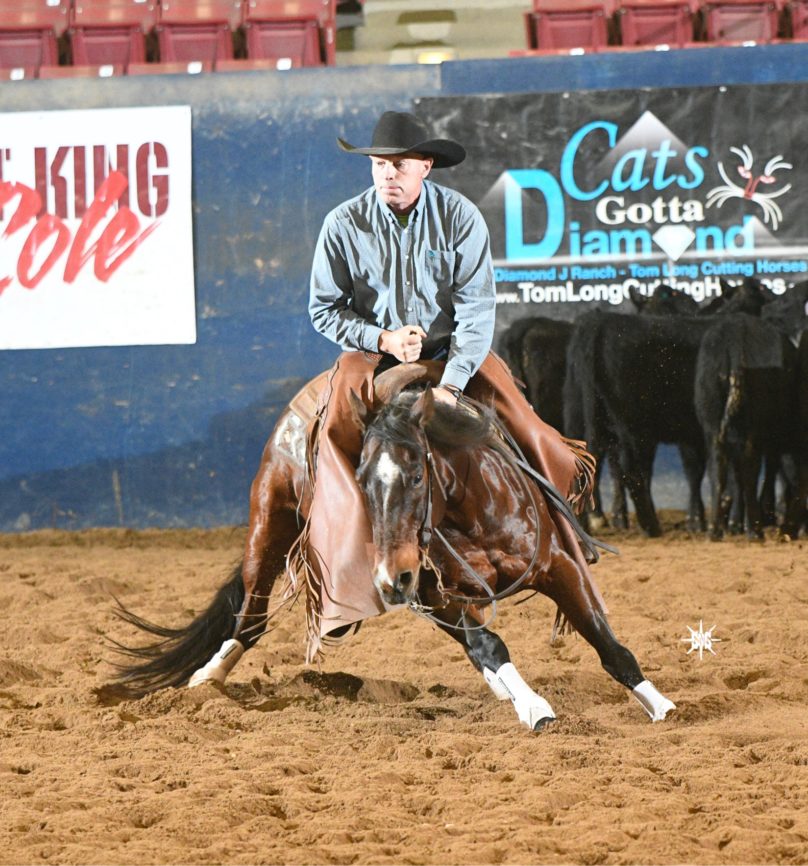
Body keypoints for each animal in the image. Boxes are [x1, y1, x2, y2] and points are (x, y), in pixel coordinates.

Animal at [104, 363, 676, 731]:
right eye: (360, 481)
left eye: (418, 474)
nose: (390, 576)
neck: (473, 510)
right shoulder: (439, 591)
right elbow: (491, 645)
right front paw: (534, 707)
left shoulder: (558, 566)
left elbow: (608, 643)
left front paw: (659, 704)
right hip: (268, 525)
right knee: (251, 614)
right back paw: (210, 672)